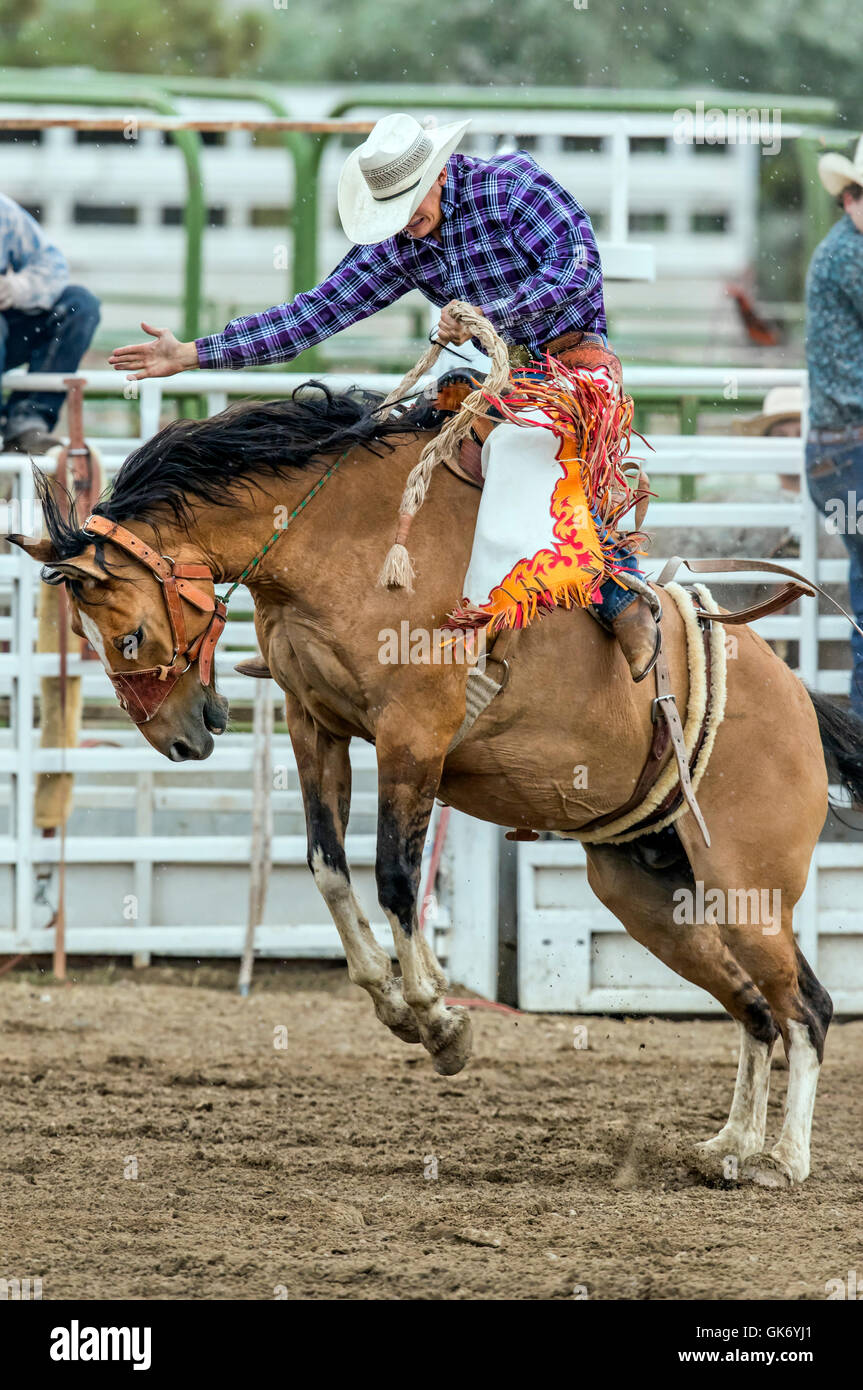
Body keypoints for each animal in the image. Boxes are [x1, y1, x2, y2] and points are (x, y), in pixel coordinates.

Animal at [10, 384, 863, 1187]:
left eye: (127, 636)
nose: (178, 737)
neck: (349, 541)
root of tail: (796, 702)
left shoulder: (411, 736)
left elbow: (394, 875)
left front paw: (437, 1019)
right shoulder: (314, 727)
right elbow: (327, 869)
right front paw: (393, 1003)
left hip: (747, 888)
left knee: (806, 1008)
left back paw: (783, 1159)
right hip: (653, 894)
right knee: (754, 1009)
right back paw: (730, 1145)